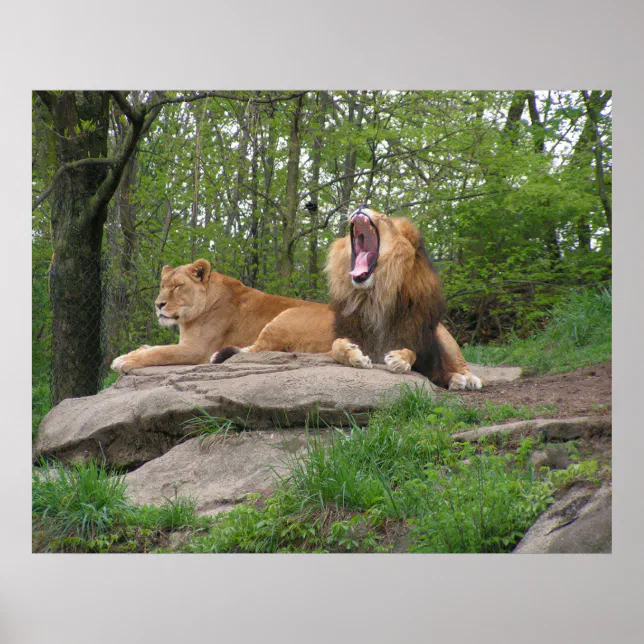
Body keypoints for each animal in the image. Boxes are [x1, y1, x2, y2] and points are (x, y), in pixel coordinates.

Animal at [110, 258, 334, 374]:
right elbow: (154, 347)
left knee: (257, 350)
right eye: (162, 286)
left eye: (177, 286)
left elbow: (160, 352)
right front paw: (131, 352)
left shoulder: (196, 349)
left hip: (287, 315)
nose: (158, 305)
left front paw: (124, 361)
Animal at [326, 206, 482, 390]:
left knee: (459, 365)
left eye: (384, 218)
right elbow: (336, 344)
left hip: (446, 338)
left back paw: (468, 380)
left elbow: (412, 353)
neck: (374, 297)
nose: (361, 205)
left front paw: (399, 359)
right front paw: (355, 355)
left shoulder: (420, 347)